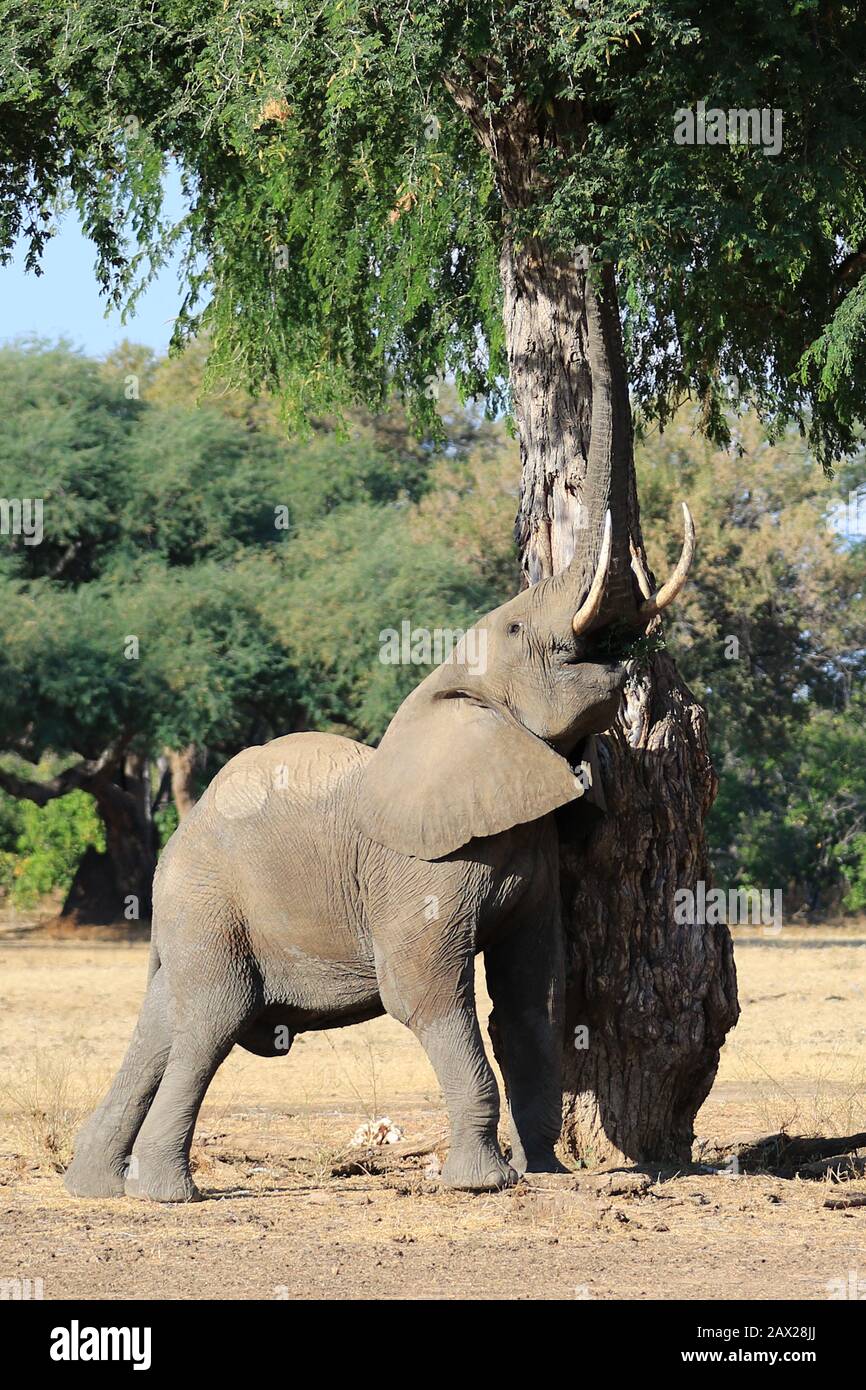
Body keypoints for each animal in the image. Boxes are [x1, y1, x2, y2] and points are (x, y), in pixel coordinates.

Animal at [65, 507, 694, 1201]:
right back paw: (165, 1194)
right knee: (212, 1019)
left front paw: (544, 1172)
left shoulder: (535, 849)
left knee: (162, 1022)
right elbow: (423, 990)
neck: (452, 690)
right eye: (516, 627)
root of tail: (174, 846)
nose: (625, 648)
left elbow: (535, 995)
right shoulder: (421, 867)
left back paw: (95, 1187)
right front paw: (482, 1184)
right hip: (210, 899)